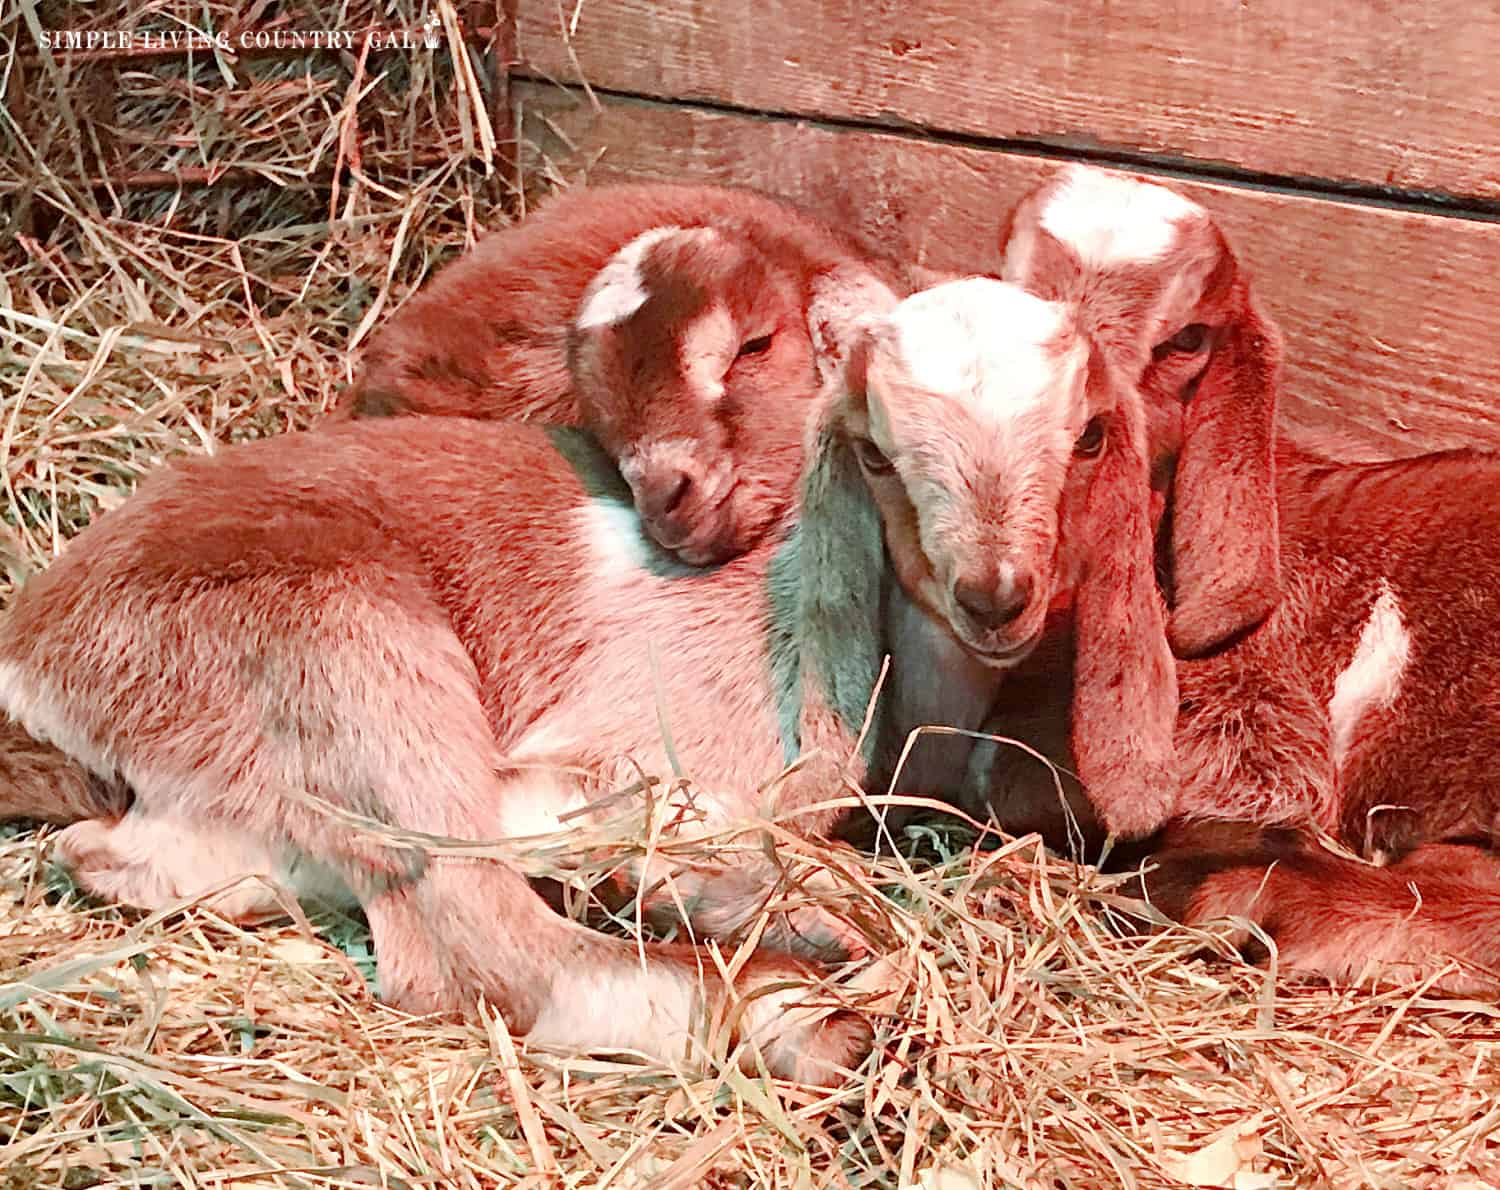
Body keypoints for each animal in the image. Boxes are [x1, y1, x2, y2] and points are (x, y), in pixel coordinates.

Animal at [0, 278, 1167, 1079]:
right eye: (877, 455)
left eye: (1087, 436)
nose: (997, 595)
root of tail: (35, 634)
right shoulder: (601, 759)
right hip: (344, 643)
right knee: (479, 942)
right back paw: (797, 1020)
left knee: (122, 853)